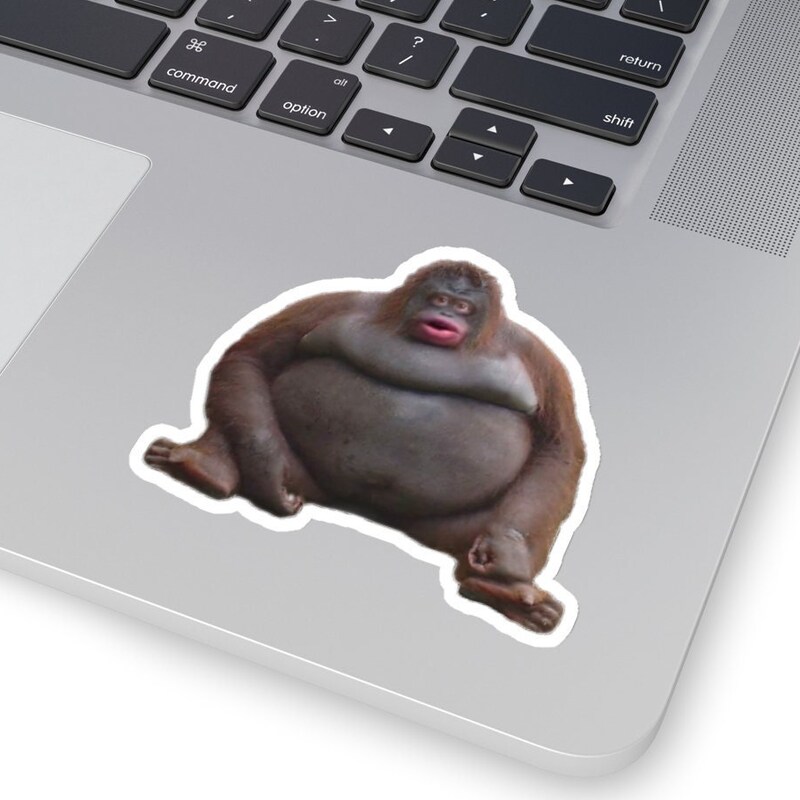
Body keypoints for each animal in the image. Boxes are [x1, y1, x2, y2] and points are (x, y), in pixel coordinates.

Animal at [144, 260, 587, 634]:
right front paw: (267, 474)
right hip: (307, 480)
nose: (445, 318)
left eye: (464, 306)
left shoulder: (540, 357)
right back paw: (202, 465)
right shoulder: (340, 301)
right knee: (246, 394)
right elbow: (250, 357)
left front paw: (505, 553)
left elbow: (559, 446)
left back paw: (505, 592)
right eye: (439, 299)